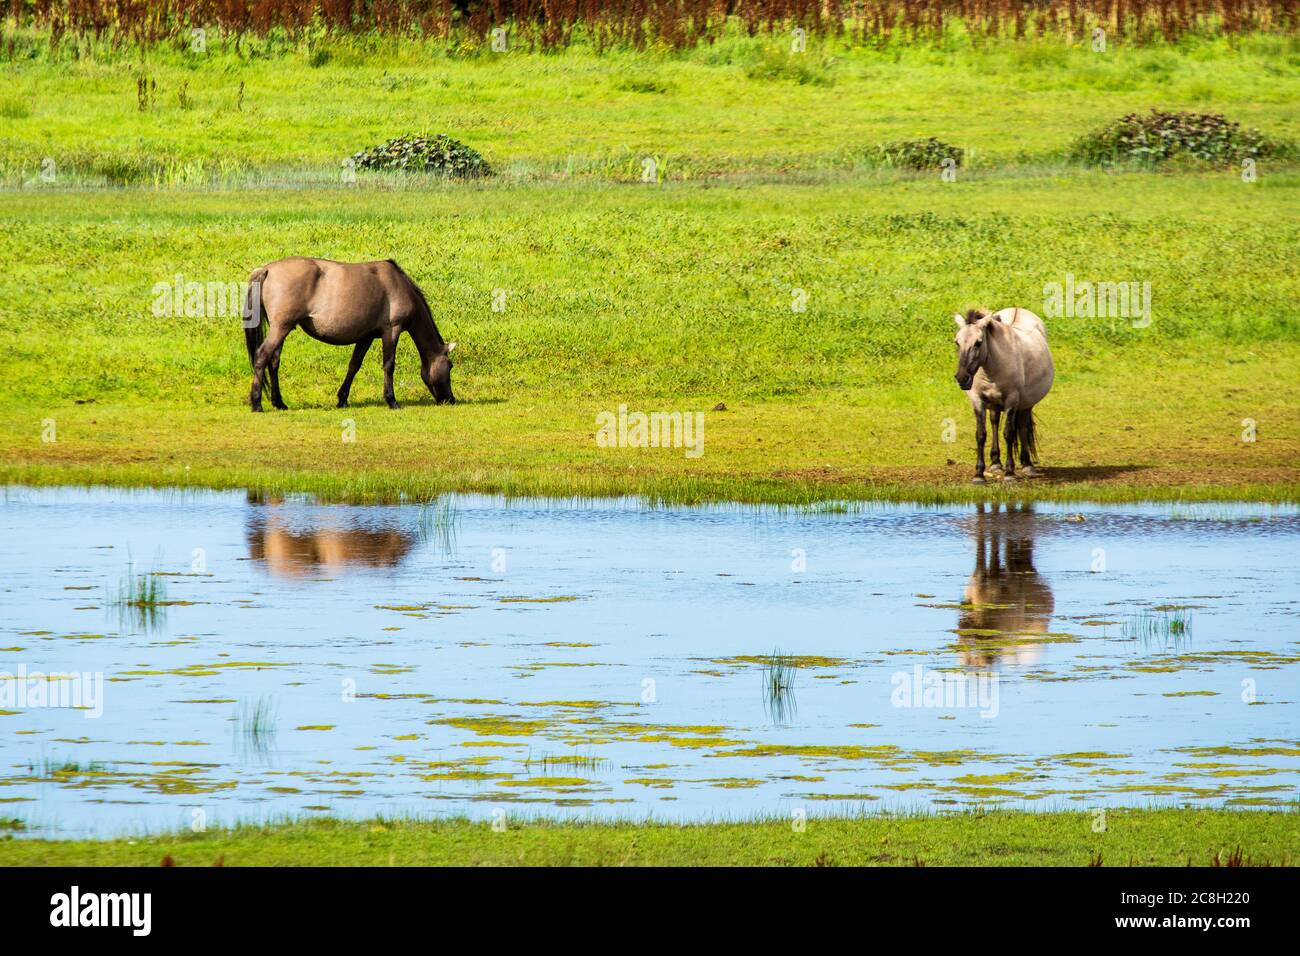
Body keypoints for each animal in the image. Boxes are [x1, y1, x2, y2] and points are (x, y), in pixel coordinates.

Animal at [242, 257, 457, 412]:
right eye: (450, 366)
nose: (451, 400)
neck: (397, 284)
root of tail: (267, 270)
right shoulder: (392, 330)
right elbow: (389, 365)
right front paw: (392, 400)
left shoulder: (366, 337)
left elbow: (354, 366)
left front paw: (342, 399)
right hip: (281, 328)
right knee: (262, 356)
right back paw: (257, 404)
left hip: (281, 329)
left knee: (274, 361)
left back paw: (279, 403)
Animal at [952, 306, 1053, 483]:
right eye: (957, 342)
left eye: (978, 343)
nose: (962, 378)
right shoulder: (978, 401)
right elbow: (981, 434)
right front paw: (979, 474)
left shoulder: (1012, 401)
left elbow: (1009, 433)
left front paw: (1010, 473)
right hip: (994, 404)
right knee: (994, 422)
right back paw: (995, 463)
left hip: (1026, 403)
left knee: (1022, 425)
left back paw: (1027, 464)